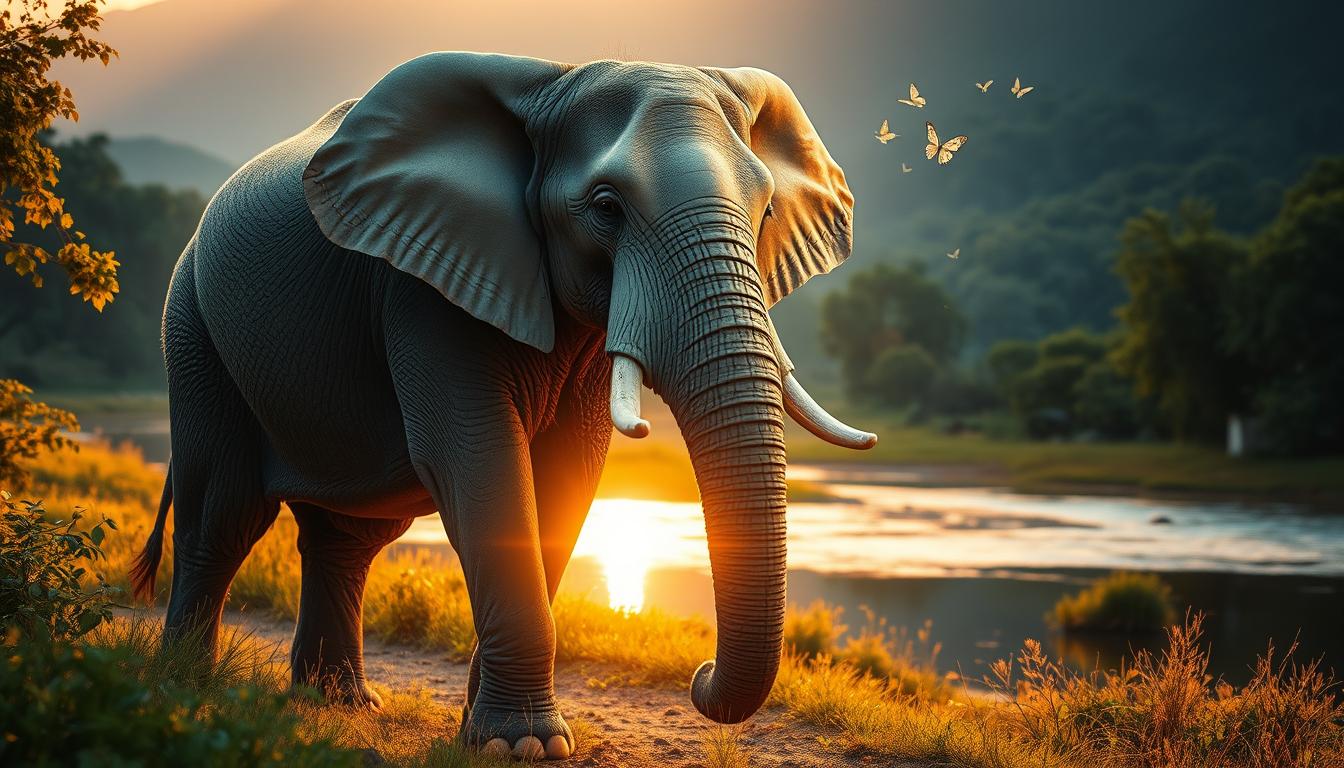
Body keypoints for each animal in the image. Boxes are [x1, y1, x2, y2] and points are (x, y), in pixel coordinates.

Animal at [129, 51, 875, 760]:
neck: (556, 80)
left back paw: (339, 703)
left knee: (348, 536)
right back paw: (188, 688)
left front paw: (485, 734)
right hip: (192, 325)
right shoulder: (423, 288)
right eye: (606, 207)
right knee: (224, 514)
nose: (698, 675)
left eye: (767, 211)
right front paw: (523, 745)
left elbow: (568, 476)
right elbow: (475, 457)